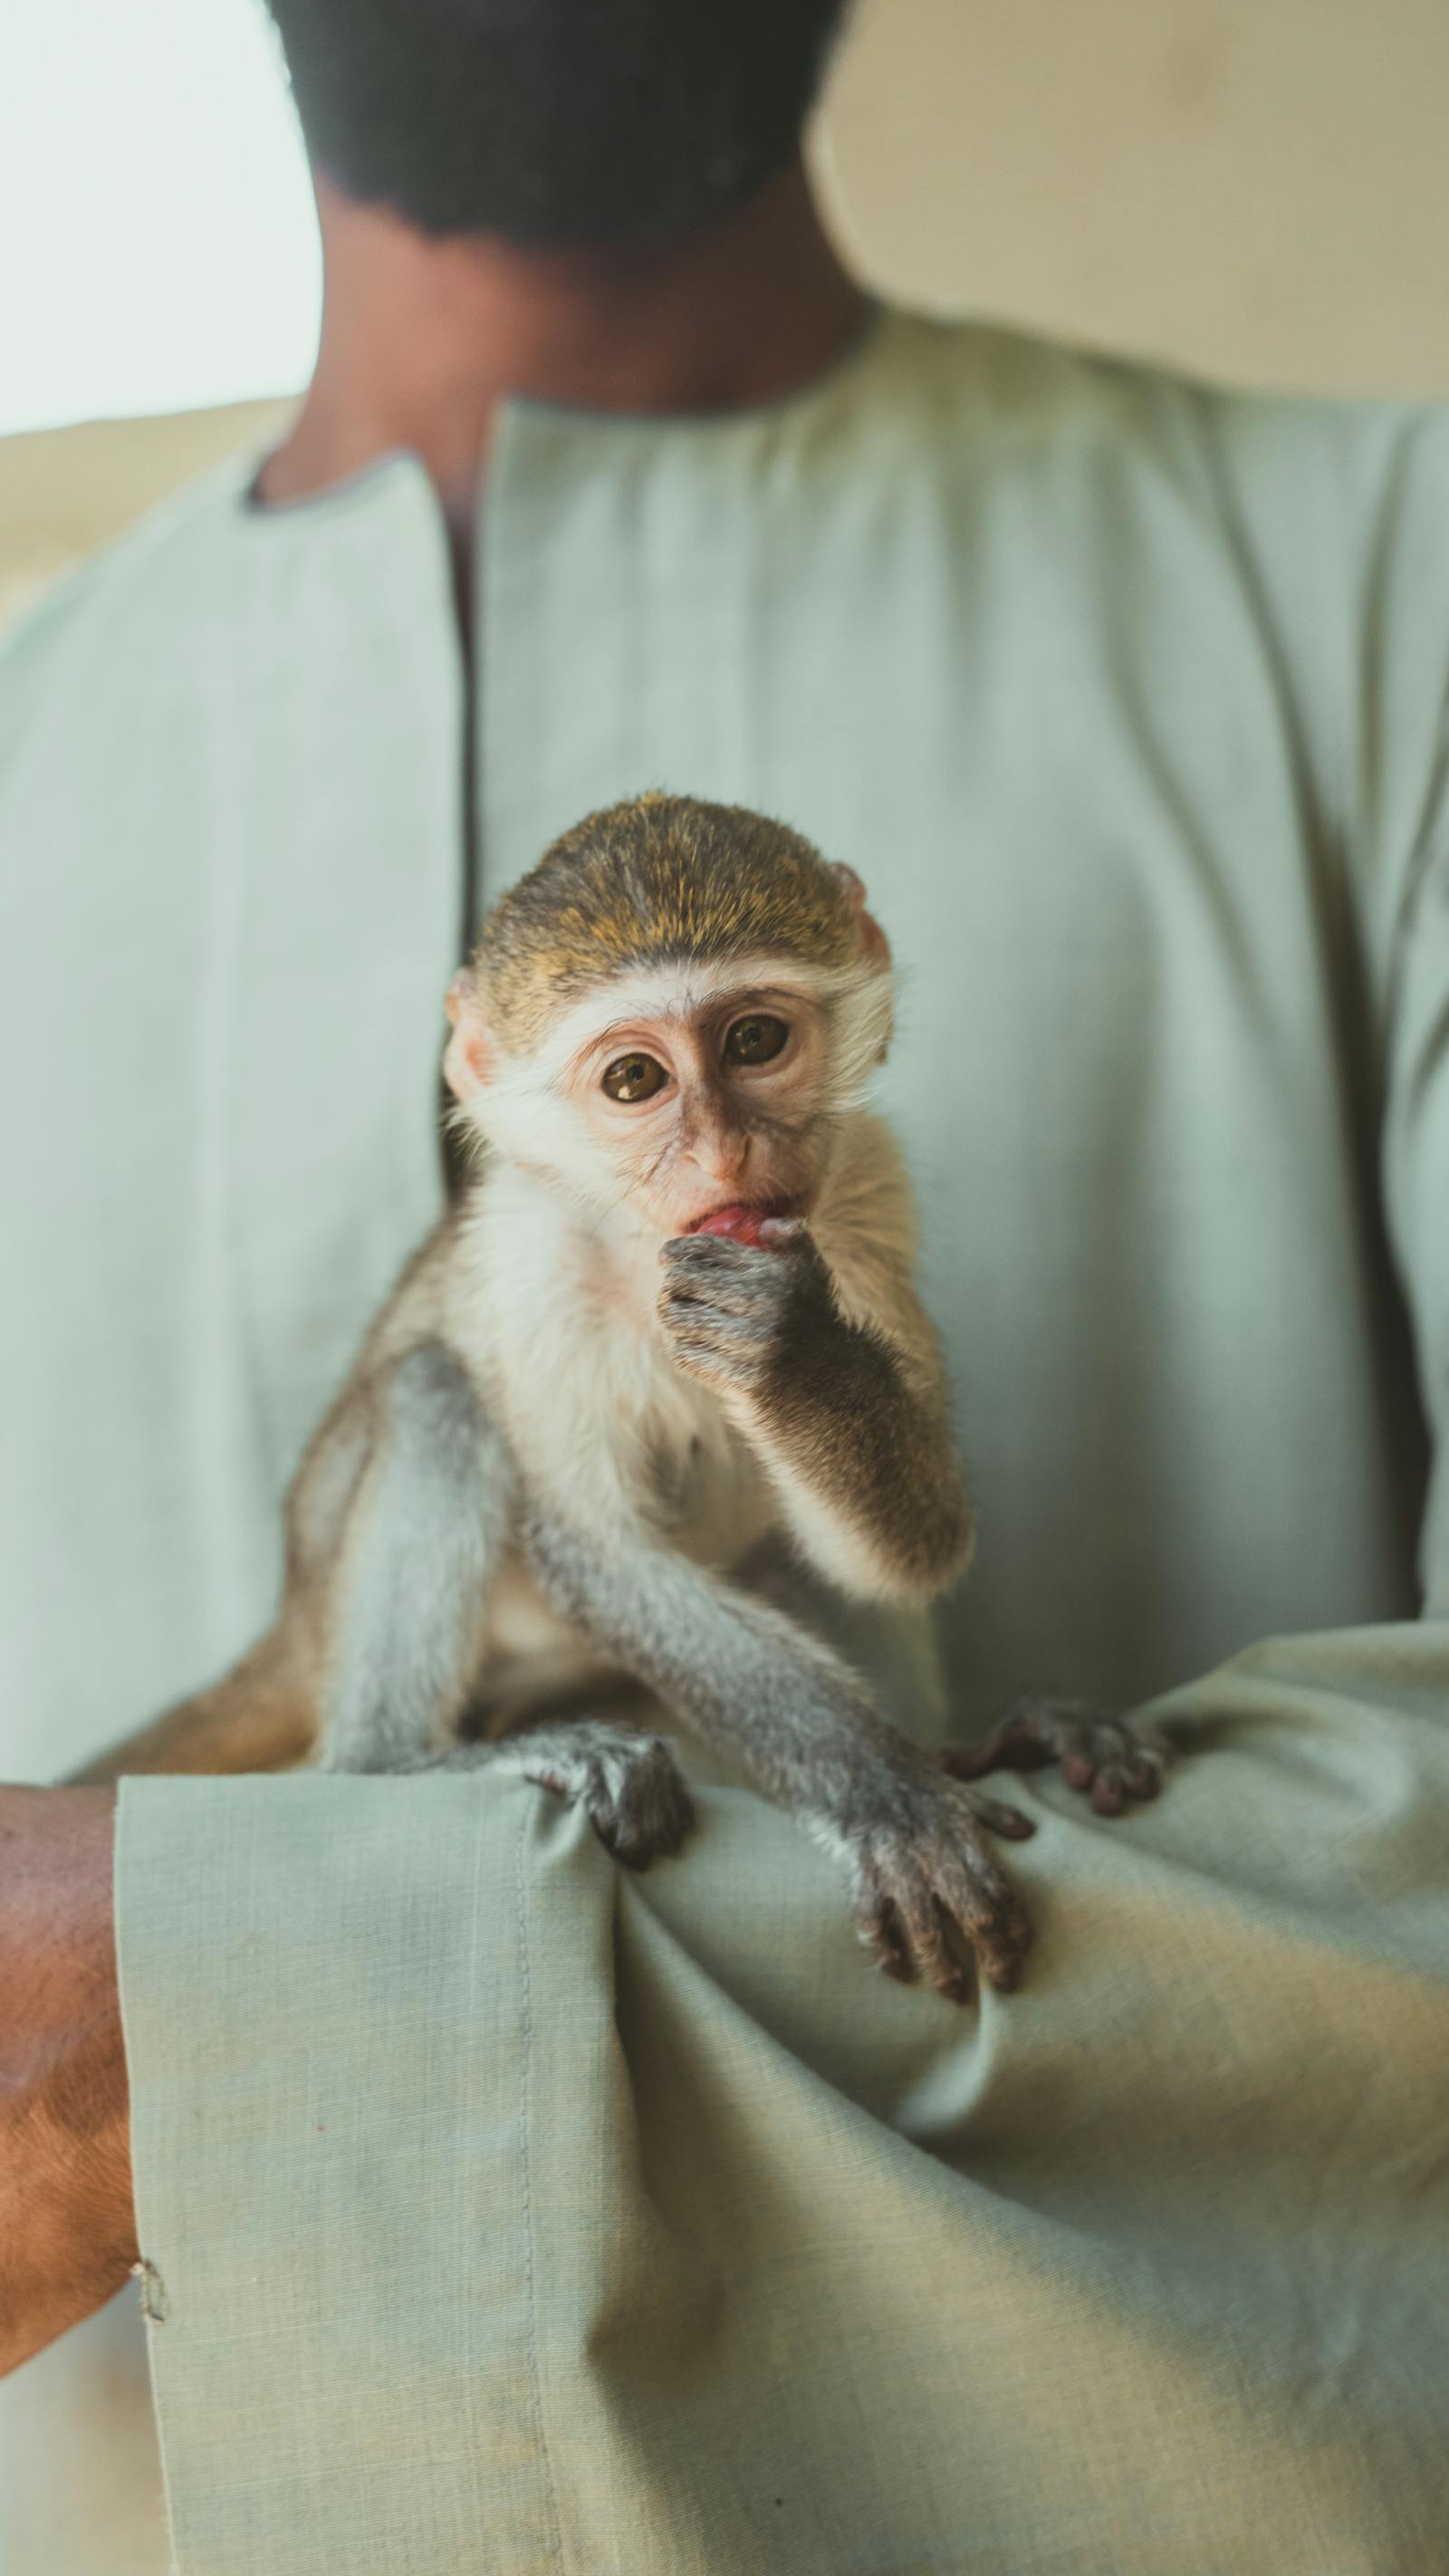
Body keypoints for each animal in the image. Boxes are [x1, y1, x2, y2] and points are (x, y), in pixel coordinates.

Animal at [75, 793, 1164, 2003]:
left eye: (754, 1042)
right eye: (636, 1082)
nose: (727, 1156)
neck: (651, 1254)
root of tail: (296, 1609)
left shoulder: (870, 1191)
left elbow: (914, 1550)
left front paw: (796, 1358)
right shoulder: (530, 1262)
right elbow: (593, 1546)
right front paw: (886, 1797)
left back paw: (989, 1743)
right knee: (432, 1390)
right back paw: (404, 1759)